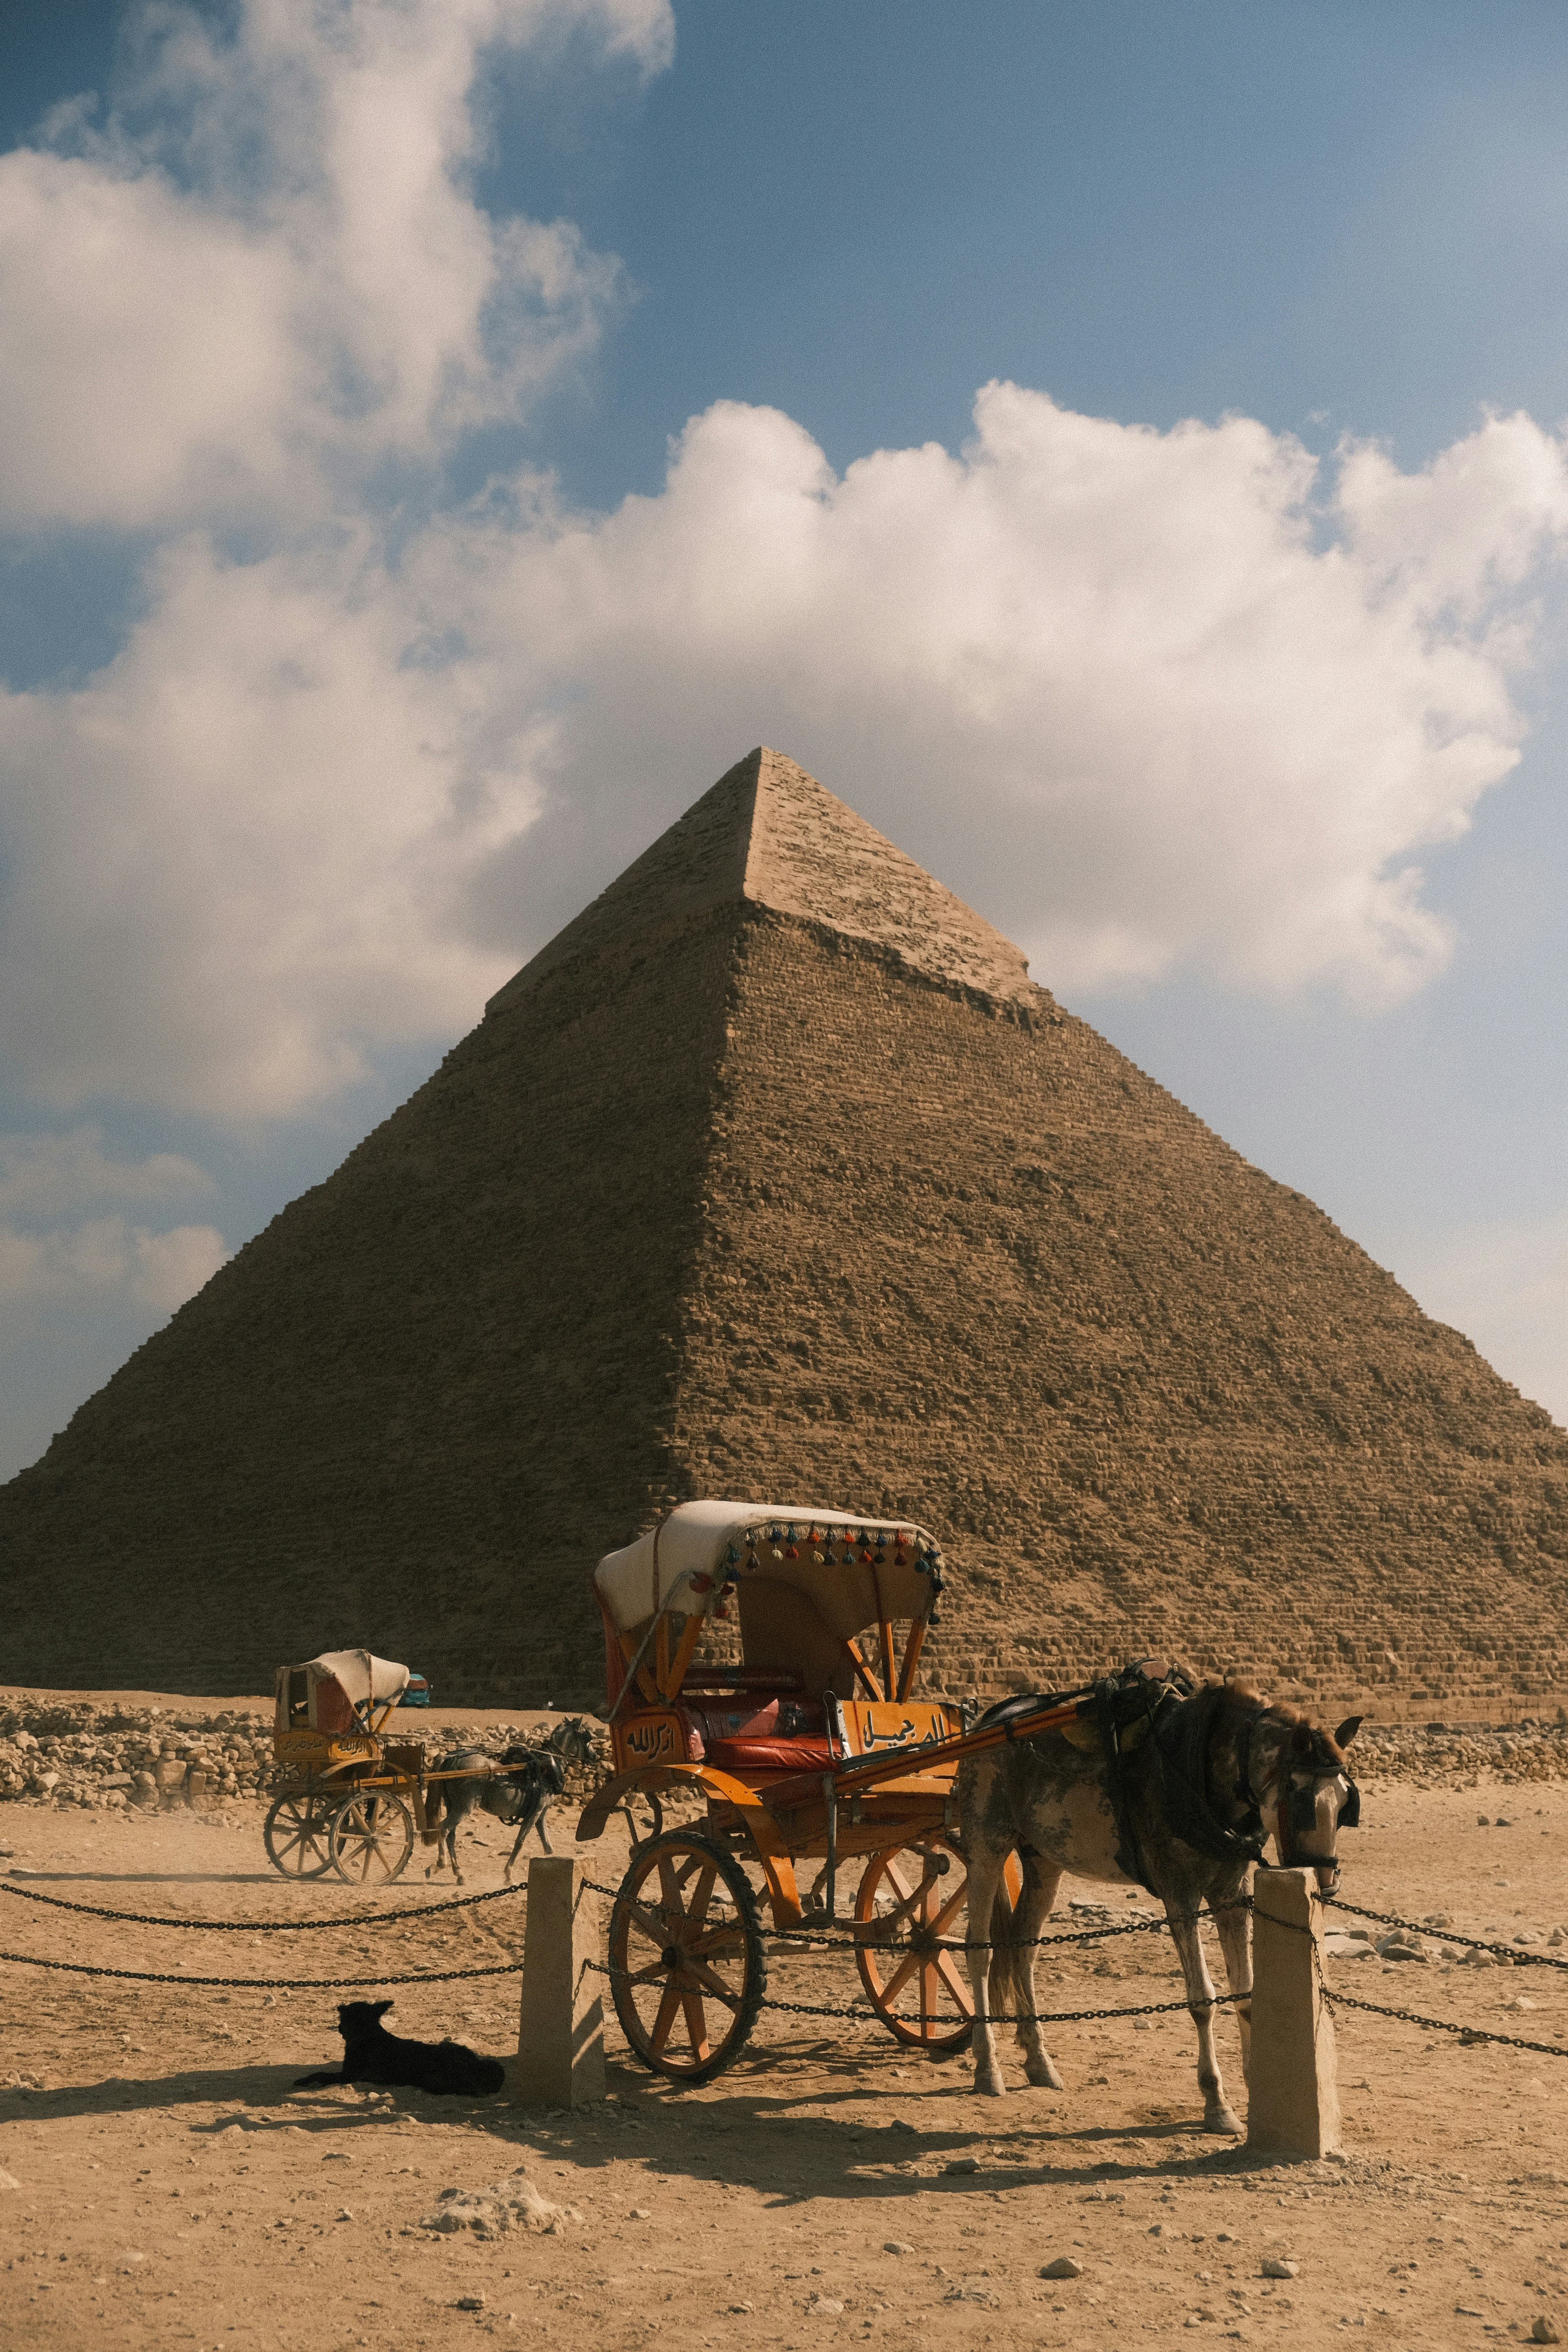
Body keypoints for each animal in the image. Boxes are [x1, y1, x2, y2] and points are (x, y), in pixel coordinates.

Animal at [424, 1718, 597, 1885]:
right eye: (586, 1736)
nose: (594, 1756)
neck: (546, 1767)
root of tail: (451, 1759)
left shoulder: (541, 1815)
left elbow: (548, 1847)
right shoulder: (535, 1813)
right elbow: (520, 1842)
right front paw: (509, 1874)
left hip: (453, 1806)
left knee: (451, 1837)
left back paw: (459, 1874)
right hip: (465, 1807)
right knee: (444, 1828)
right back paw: (440, 1864)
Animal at [955, 1672, 1361, 2135]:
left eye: (1345, 1802)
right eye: (1299, 1797)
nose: (1325, 1882)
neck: (1199, 1769)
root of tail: (988, 1719)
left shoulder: (1231, 1892)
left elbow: (1246, 1991)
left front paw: (1253, 2088)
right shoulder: (1179, 1892)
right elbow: (1202, 1999)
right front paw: (1216, 2104)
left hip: (1043, 1857)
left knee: (1024, 1945)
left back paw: (1039, 2061)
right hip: (985, 1842)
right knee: (979, 1948)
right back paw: (988, 2068)